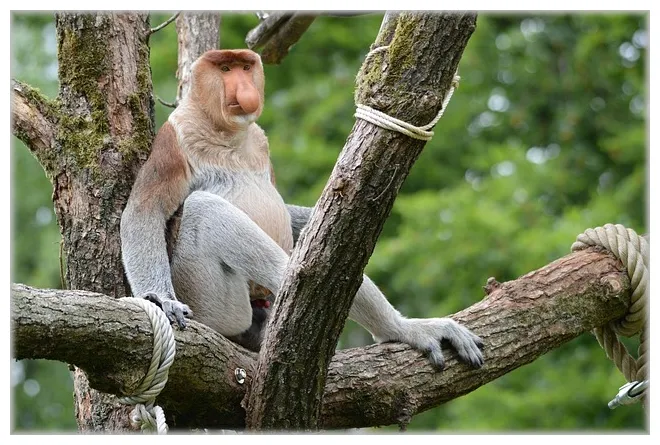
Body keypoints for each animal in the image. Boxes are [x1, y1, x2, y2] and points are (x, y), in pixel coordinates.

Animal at [120, 49, 484, 370]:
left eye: (245, 67)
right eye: (224, 69)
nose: (244, 87)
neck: (228, 133)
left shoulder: (260, 141)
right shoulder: (174, 138)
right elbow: (144, 211)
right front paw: (163, 300)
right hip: (208, 300)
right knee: (205, 210)